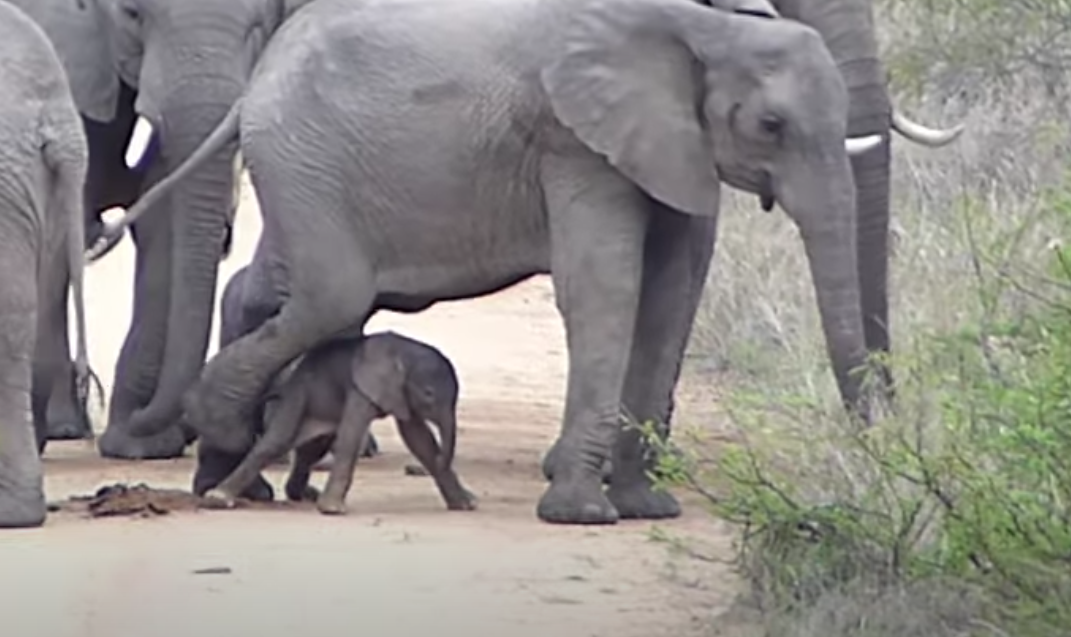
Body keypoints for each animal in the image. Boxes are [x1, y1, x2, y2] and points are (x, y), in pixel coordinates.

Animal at [202, 331, 475, 515]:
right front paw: (333, 510)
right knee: (278, 442)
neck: (404, 351)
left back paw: (304, 496)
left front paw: (465, 505)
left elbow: (418, 438)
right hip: (298, 393)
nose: (413, 470)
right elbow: (352, 434)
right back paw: (218, 499)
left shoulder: (399, 393)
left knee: (310, 450)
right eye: (428, 394)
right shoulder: (364, 386)